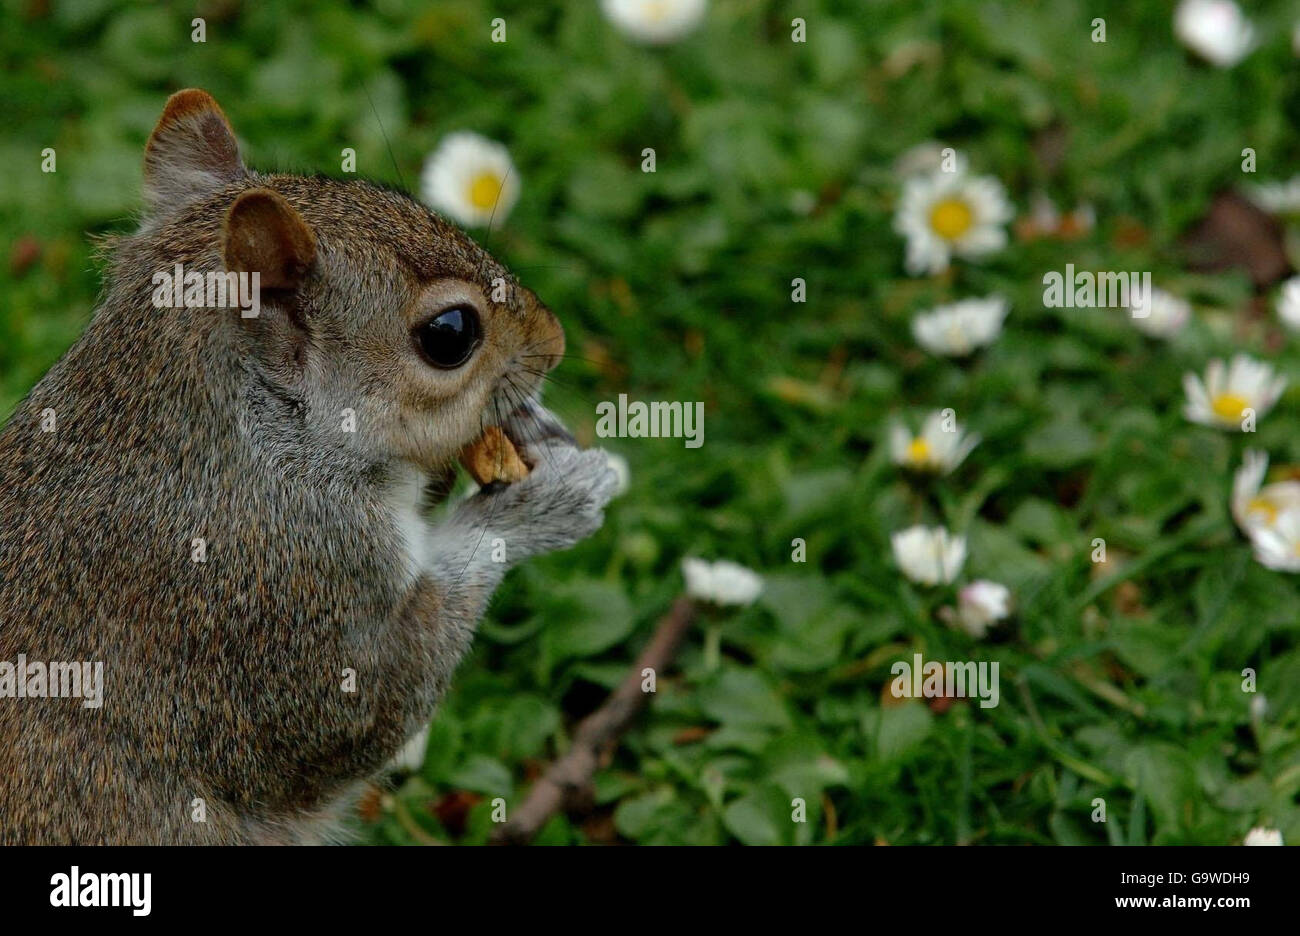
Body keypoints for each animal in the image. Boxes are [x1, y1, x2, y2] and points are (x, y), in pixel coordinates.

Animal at [0, 90, 619, 844]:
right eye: (450, 334)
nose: (554, 343)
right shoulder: (269, 603)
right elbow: (362, 712)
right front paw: (537, 507)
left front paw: (535, 428)